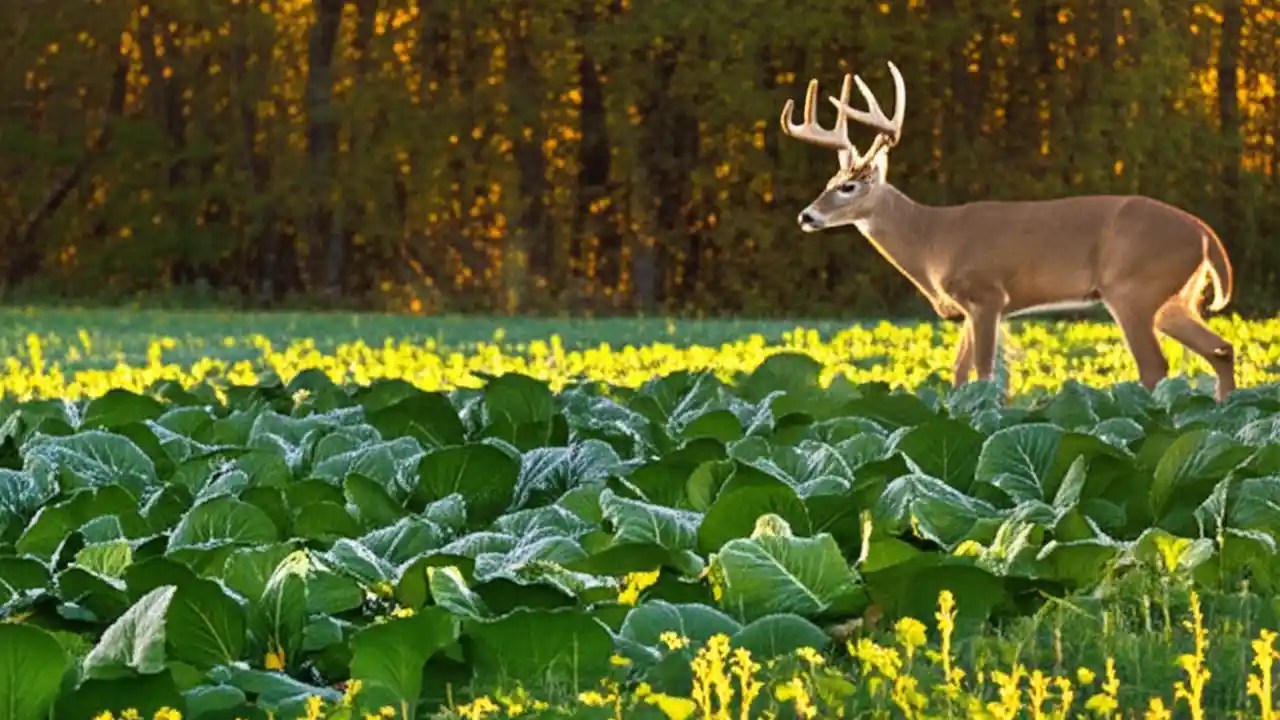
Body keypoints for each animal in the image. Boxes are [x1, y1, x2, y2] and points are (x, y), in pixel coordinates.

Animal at [779, 60, 1237, 402]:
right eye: (829, 182)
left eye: (848, 186)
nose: (806, 217)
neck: (931, 240)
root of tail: (1205, 234)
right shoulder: (967, 307)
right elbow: (958, 373)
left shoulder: (987, 295)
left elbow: (983, 373)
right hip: (1174, 298)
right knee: (1222, 350)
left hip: (1133, 289)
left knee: (1155, 366)